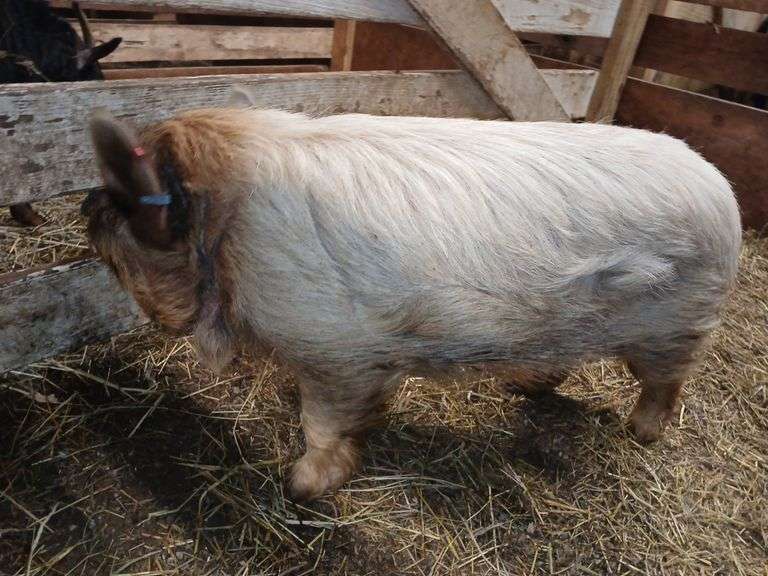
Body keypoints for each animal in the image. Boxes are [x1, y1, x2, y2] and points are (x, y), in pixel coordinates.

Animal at [83, 107, 741, 501]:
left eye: (125, 205)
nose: (88, 202)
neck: (226, 233)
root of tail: (724, 194)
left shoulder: (336, 351)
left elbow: (321, 424)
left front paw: (300, 485)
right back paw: (524, 386)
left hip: (677, 325)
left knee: (666, 385)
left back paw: (641, 432)